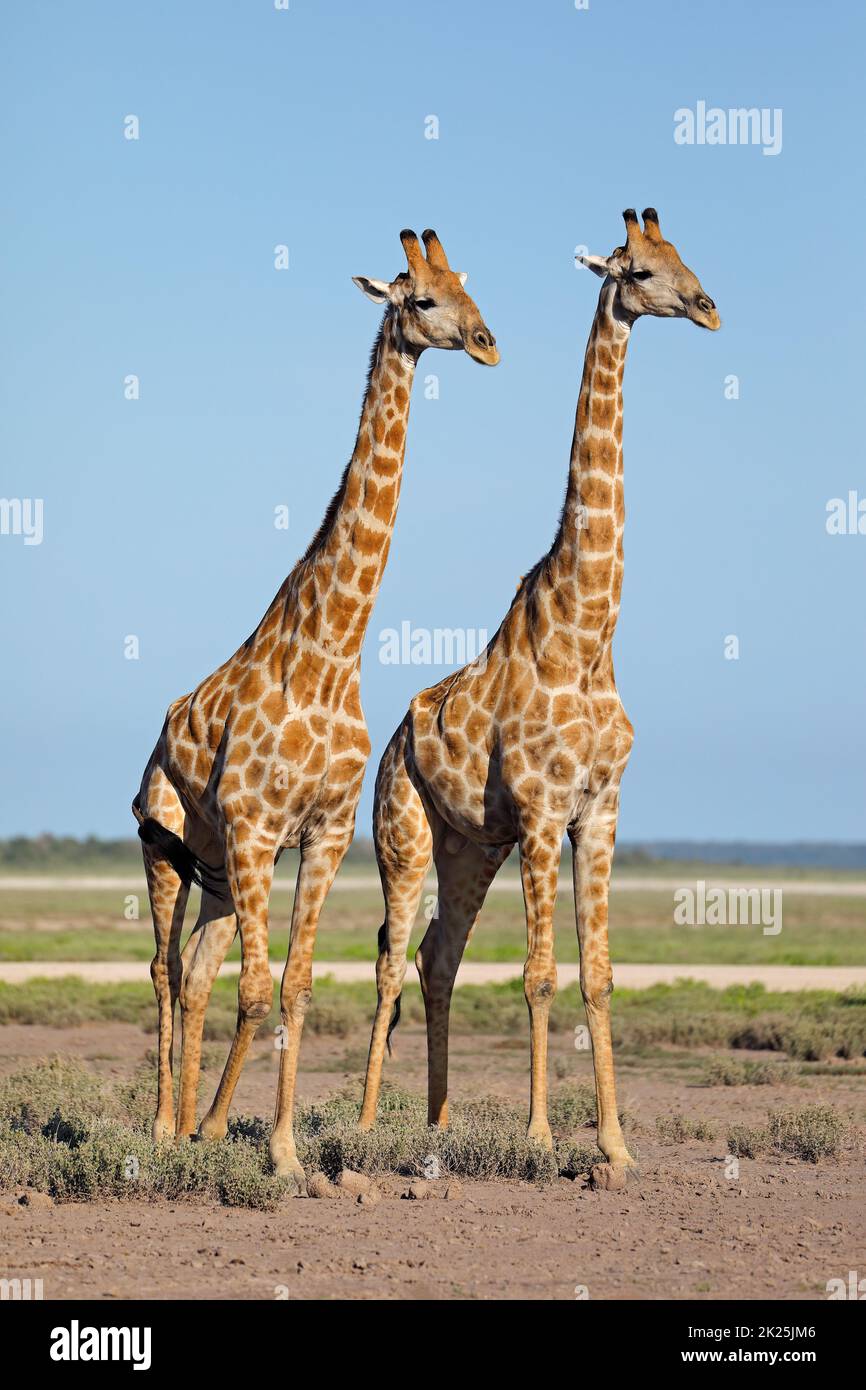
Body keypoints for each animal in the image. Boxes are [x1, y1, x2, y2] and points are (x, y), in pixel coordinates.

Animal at [133, 228, 498, 1188]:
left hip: (222, 871)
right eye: (422, 300)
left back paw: (192, 1124)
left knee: (196, 969)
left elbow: (291, 987)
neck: (330, 655)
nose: (487, 342)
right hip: (166, 842)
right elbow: (260, 990)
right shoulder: (259, 824)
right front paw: (244, 1144)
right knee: (161, 968)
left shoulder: (323, 833)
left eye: (466, 285)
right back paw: (161, 1131)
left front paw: (283, 1152)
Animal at [359, 208, 720, 1170]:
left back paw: (439, 1125)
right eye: (639, 271)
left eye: (683, 256)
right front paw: (540, 1136)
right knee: (391, 955)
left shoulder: (598, 811)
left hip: (469, 848)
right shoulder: (539, 811)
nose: (708, 307)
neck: (585, 635)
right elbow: (539, 975)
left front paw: (617, 1147)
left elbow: (596, 976)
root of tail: (394, 740)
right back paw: (367, 1127)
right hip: (405, 834)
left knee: (437, 957)